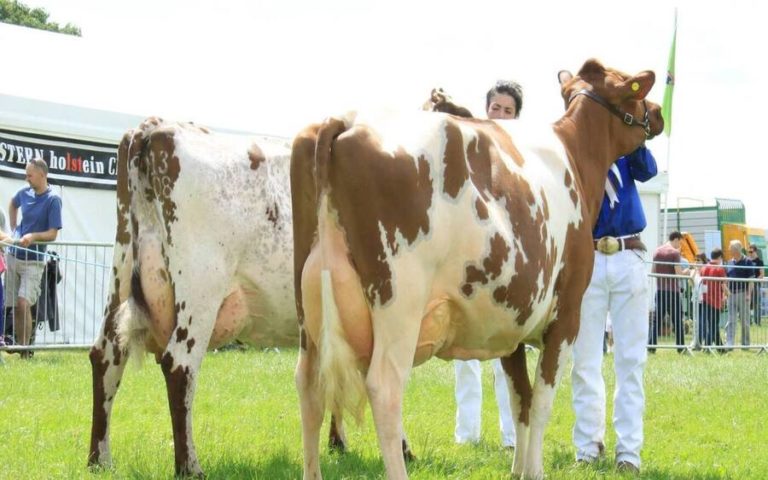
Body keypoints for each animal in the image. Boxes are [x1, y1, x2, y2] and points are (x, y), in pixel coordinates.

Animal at [87, 118, 298, 477]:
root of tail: (155, 127)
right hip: (200, 289)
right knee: (179, 366)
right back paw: (189, 467)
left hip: (121, 272)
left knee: (106, 357)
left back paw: (99, 460)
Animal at [291, 58, 663, 479]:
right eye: (634, 88)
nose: (658, 113)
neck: (576, 158)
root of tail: (347, 119)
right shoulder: (566, 313)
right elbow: (542, 402)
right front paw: (534, 471)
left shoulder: (513, 323)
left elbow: (520, 401)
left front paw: (518, 470)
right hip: (398, 301)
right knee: (384, 388)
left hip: (308, 310)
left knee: (309, 385)